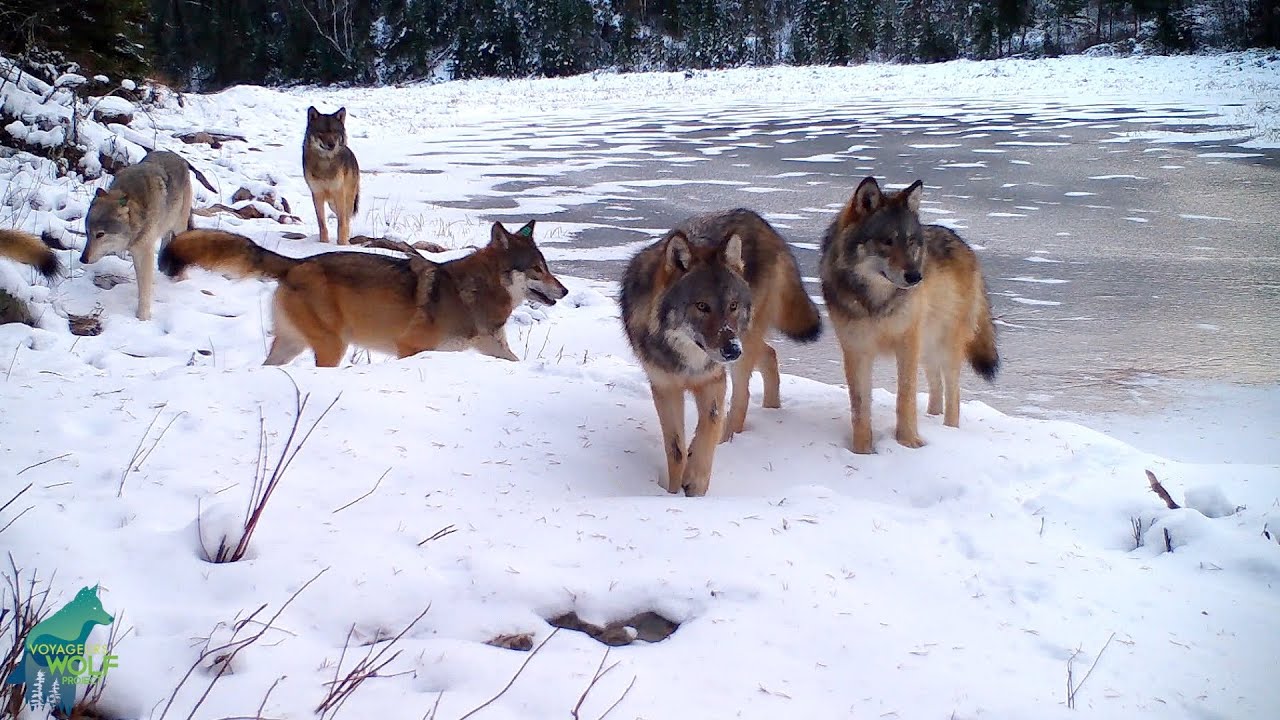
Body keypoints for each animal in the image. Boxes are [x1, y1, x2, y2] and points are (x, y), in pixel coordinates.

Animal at [81, 149, 217, 321]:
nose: (82, 259)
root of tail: (180, 158)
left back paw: (180, 278)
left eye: (100, 234)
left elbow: (145, 285)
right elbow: (141, 282)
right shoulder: (136, 251)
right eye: (87, 232)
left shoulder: (145, 250)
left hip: (179, 225)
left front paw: (143, 317)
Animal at [159, 220, 567, 367]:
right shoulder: (409, 349)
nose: (564, 290)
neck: (474, 292)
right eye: (537, 269)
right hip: (332, 348)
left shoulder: (494, 350)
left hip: (292, 347)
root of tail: (295, 263)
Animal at [303, 106, 360, 246]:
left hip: (346, 200)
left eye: (335, 132)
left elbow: (342, 223)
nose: (332, 145)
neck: (325, 163)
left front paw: (342, 243)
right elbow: (322, 223)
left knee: (346, 218)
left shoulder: (339, 193)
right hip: (331, 204)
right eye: (322, 132)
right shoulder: (317, 194)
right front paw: (323, 242)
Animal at [619, 209, 822, 496]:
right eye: (702, 306)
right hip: (747, 342)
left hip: (745, 343)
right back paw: (772, 409)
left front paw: (695, 483)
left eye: (732, 305)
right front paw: (672, 491)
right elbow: (676, 450)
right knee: (769, 354)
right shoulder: (665, 388)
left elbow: (707, 432)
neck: (689, 361)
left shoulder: (713, 381)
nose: (731, 350)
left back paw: (730, 437)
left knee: (742, 395)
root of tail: (757, 218)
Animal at [819, 176, 999, 455]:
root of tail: (962, 242)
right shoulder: (857, 349)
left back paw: (950, 431)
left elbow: (906, 396)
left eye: (911, 242)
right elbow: (859, 407)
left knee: (953, 393)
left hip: (944, 346)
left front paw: (909, 442)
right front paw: (862, 451)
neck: (877, 303)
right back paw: (933, 419)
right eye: (888, 241)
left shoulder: (907, 343)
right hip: (927, 347)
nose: (916, 277)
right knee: (936, 385)